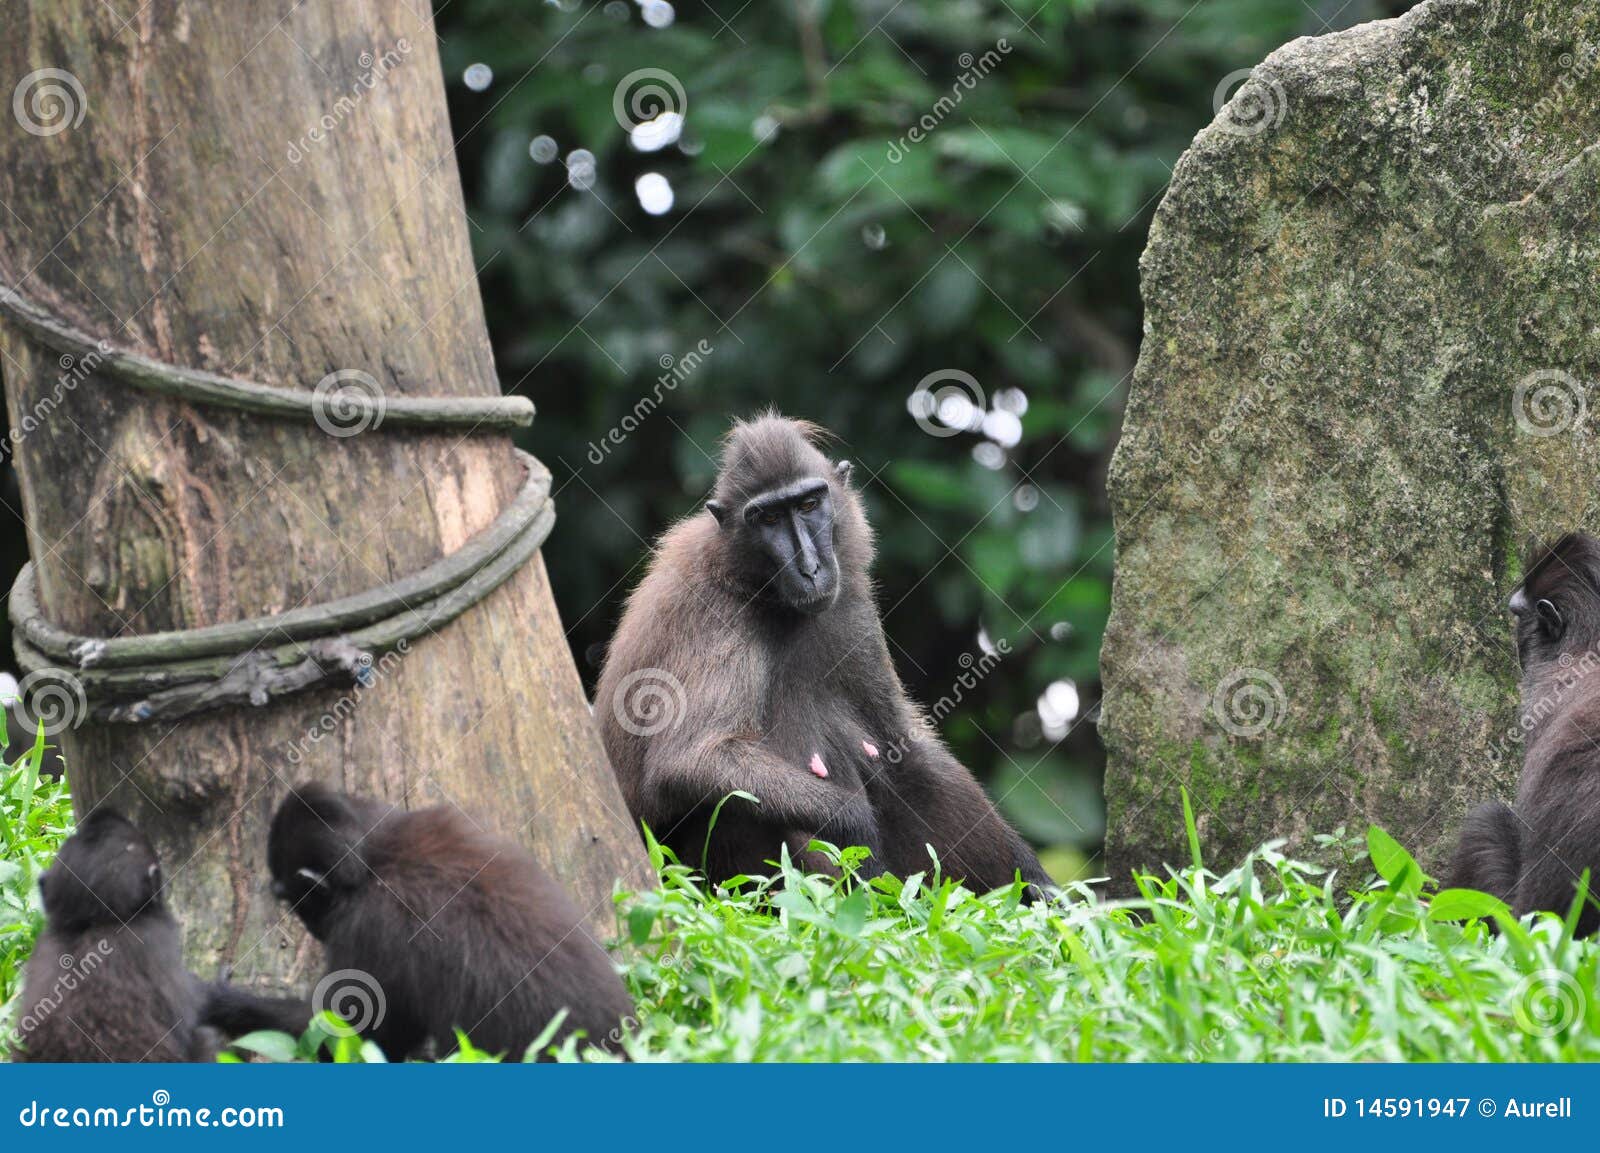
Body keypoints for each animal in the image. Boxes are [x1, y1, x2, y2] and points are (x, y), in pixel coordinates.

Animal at [204, 784, 636, 1061]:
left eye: (295, 903)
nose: (313, 929)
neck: (376, 858)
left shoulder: (364, 929)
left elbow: (346, 1035)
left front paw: (221, 1001)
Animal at [595, 413, 1053, 896]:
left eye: (809, 505)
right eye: (769, 518)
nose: (811, 569)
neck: (766, 594)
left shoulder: (849, 606)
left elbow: (899, 735)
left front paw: (1033, 875)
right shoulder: (713, 614)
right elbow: (689, 760)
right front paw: (856, 829)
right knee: (735, 807)